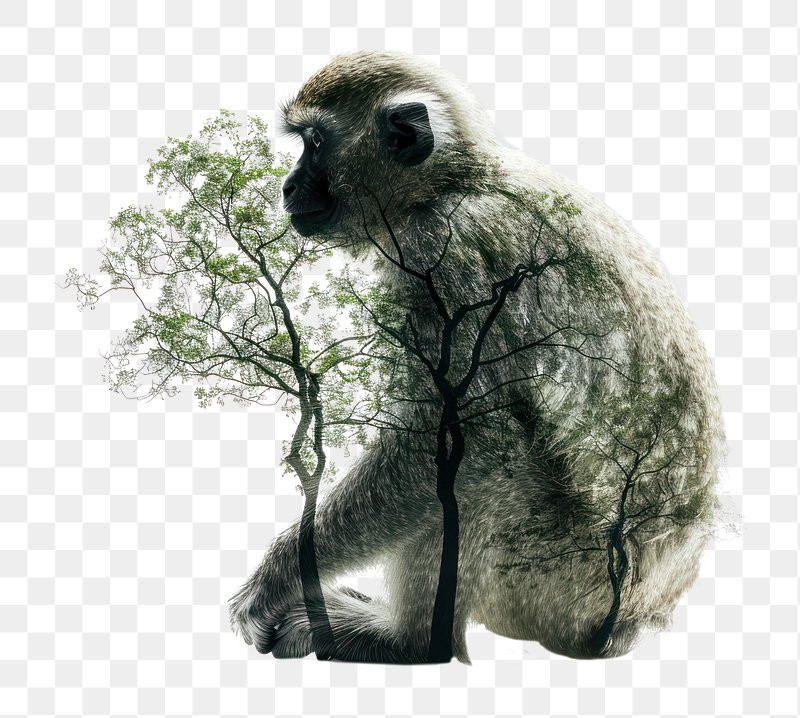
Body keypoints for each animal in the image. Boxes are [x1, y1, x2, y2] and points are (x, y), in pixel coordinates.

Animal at [228, 51, 725, 664]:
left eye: (315, 143)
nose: (289, 185)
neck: (455, 182)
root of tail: (638, 616)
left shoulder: (446, 256)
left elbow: (461, 438)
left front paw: (278, 576)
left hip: (553, 580)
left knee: (479, 468)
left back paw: (408, 640)